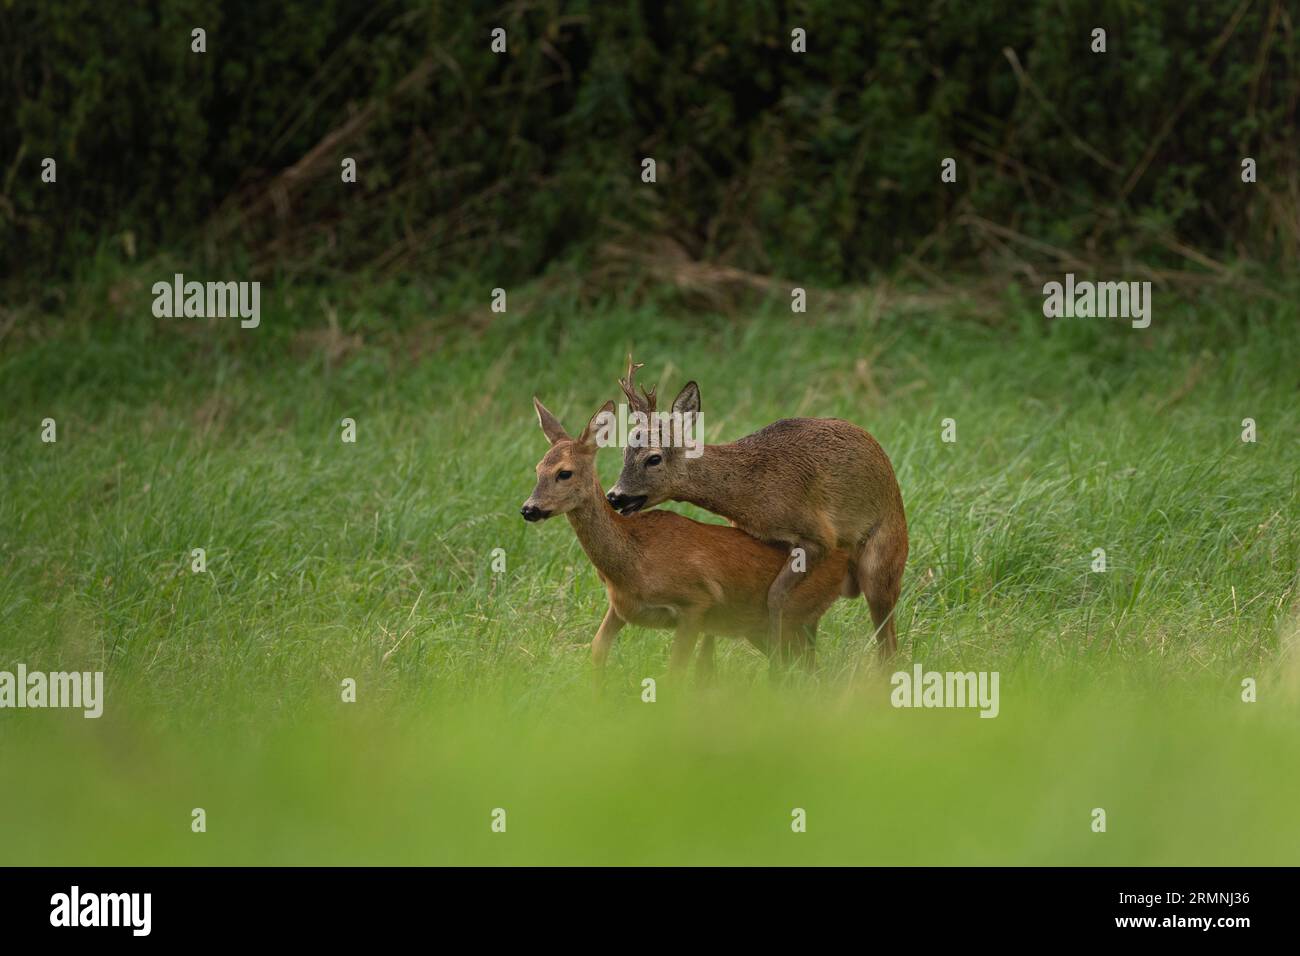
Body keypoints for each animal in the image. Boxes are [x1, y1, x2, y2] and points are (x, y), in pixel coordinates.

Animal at [519, 397, 853, 680]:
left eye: (564, 473)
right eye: (537, 469)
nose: (528, 509)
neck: (632, 561)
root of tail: (842, 560)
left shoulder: (696, 603)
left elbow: (675, 672)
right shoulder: (619, 609)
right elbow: (597, 653)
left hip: (792, 616)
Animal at [605, 355, 908, 663]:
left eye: (653, 458)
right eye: (623, 452)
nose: (614, 496)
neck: (752, 490)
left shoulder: (820, 535)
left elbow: (774, 597)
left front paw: (775, 665)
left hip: (883, 559)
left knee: (888, 638)